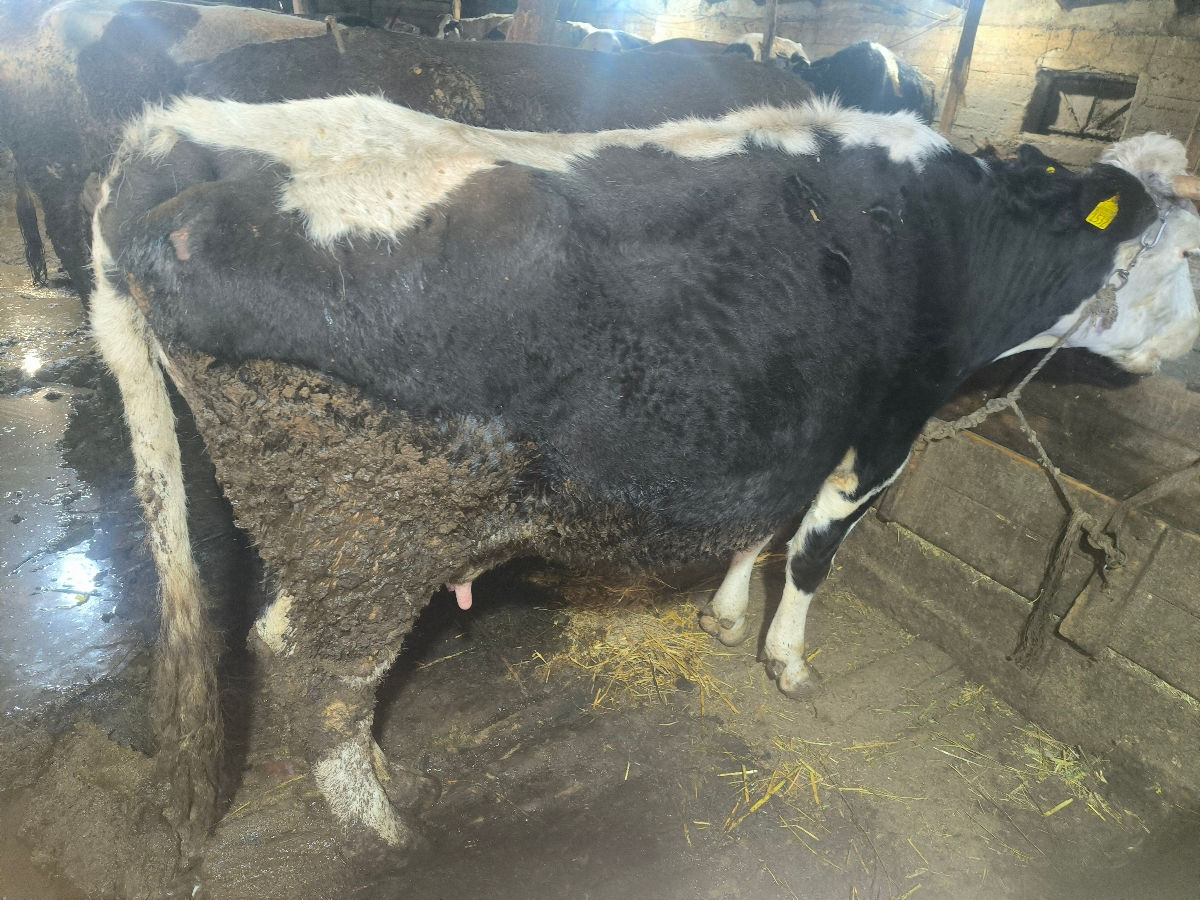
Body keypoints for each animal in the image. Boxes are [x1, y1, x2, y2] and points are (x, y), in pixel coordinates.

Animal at [90, 92, 1200, 854]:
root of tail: (168, 134)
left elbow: (762, 525)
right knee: (324, 679)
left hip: (315, 524)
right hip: (373, 523)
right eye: (1189, 253)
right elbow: (814, 550)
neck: (952, 234)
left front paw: (724, 615)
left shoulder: (786, 416)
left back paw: (381, 765)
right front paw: (787, 660)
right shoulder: (885, 423)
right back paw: (388, 831)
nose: (1186, 357)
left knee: (282, 636)